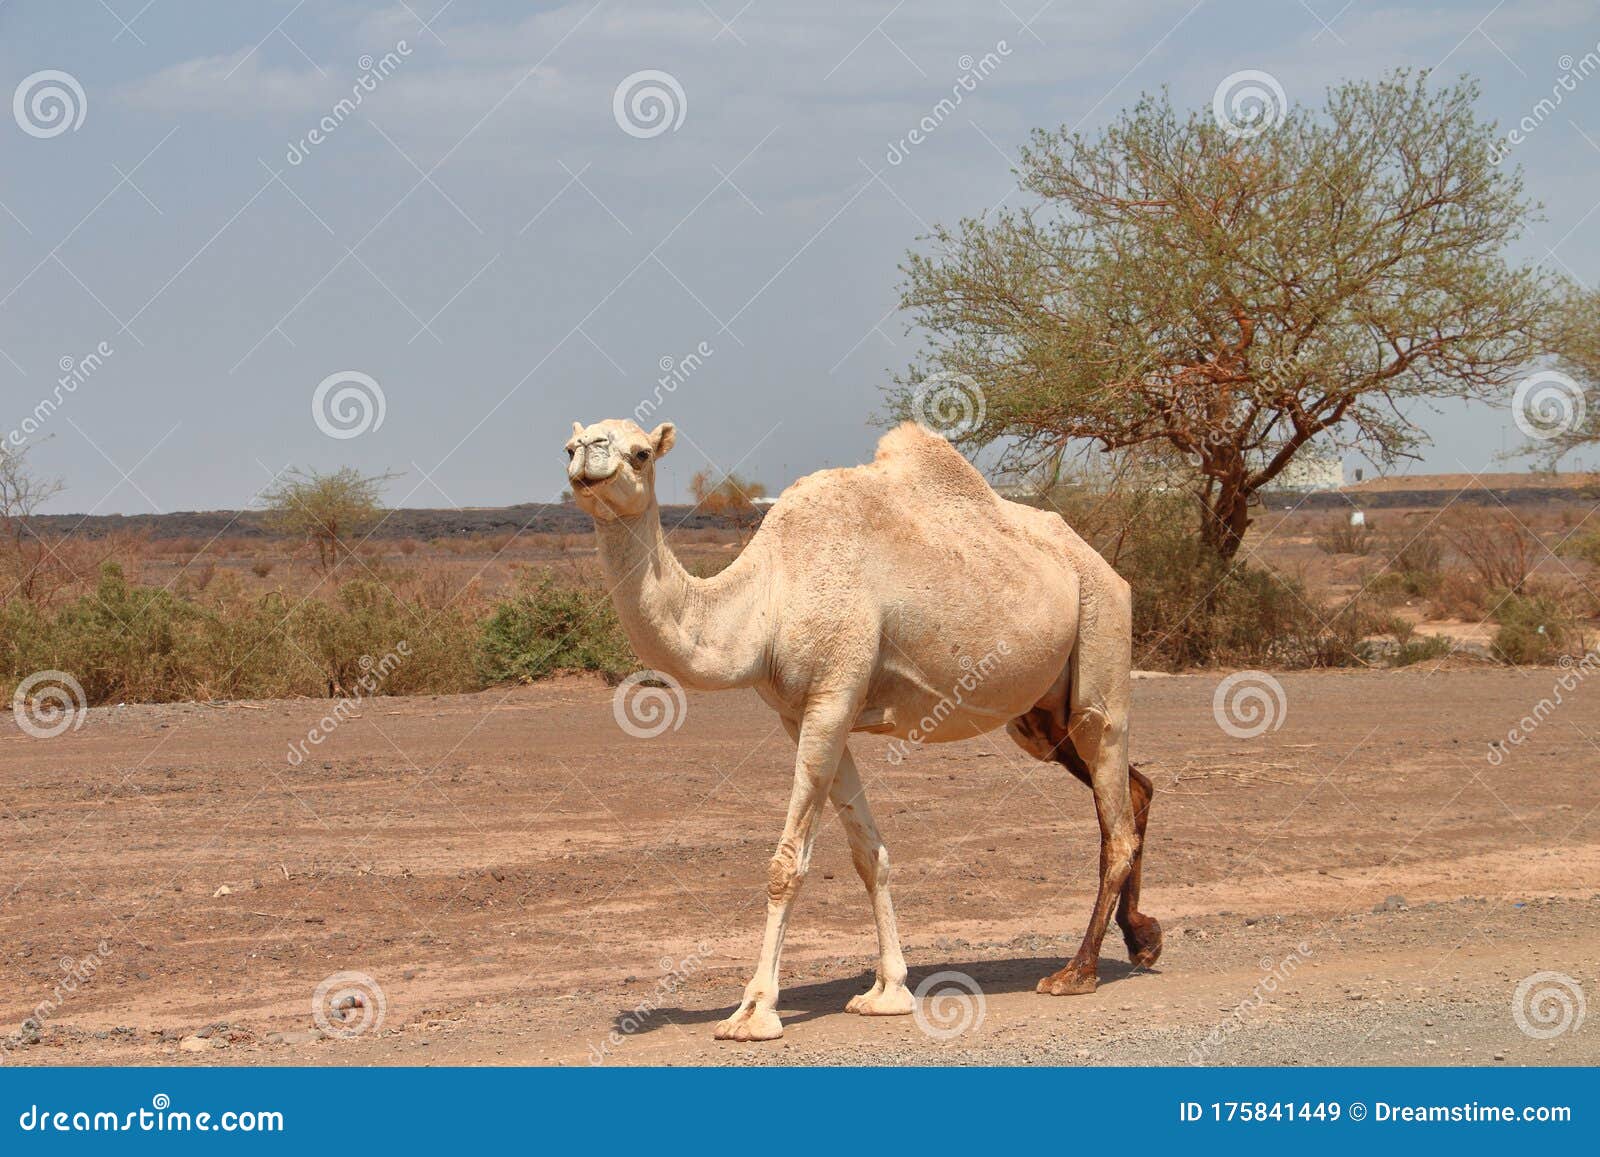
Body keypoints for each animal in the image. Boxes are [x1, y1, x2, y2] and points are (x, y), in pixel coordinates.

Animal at [566, 417, 1160, 1041]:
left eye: (641, 452)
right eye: (571, 445)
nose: (587, 455)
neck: (767, 597)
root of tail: (1106, 568)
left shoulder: (832, 694)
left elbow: (787, 863)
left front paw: (753, 1012)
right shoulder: (804, 713)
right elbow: (867, 854)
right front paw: (887, 991)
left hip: (1102, 642)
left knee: (1114, 811)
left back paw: (1077, 971)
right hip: (1040, 718)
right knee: (1135, 789)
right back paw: (1143, 941)